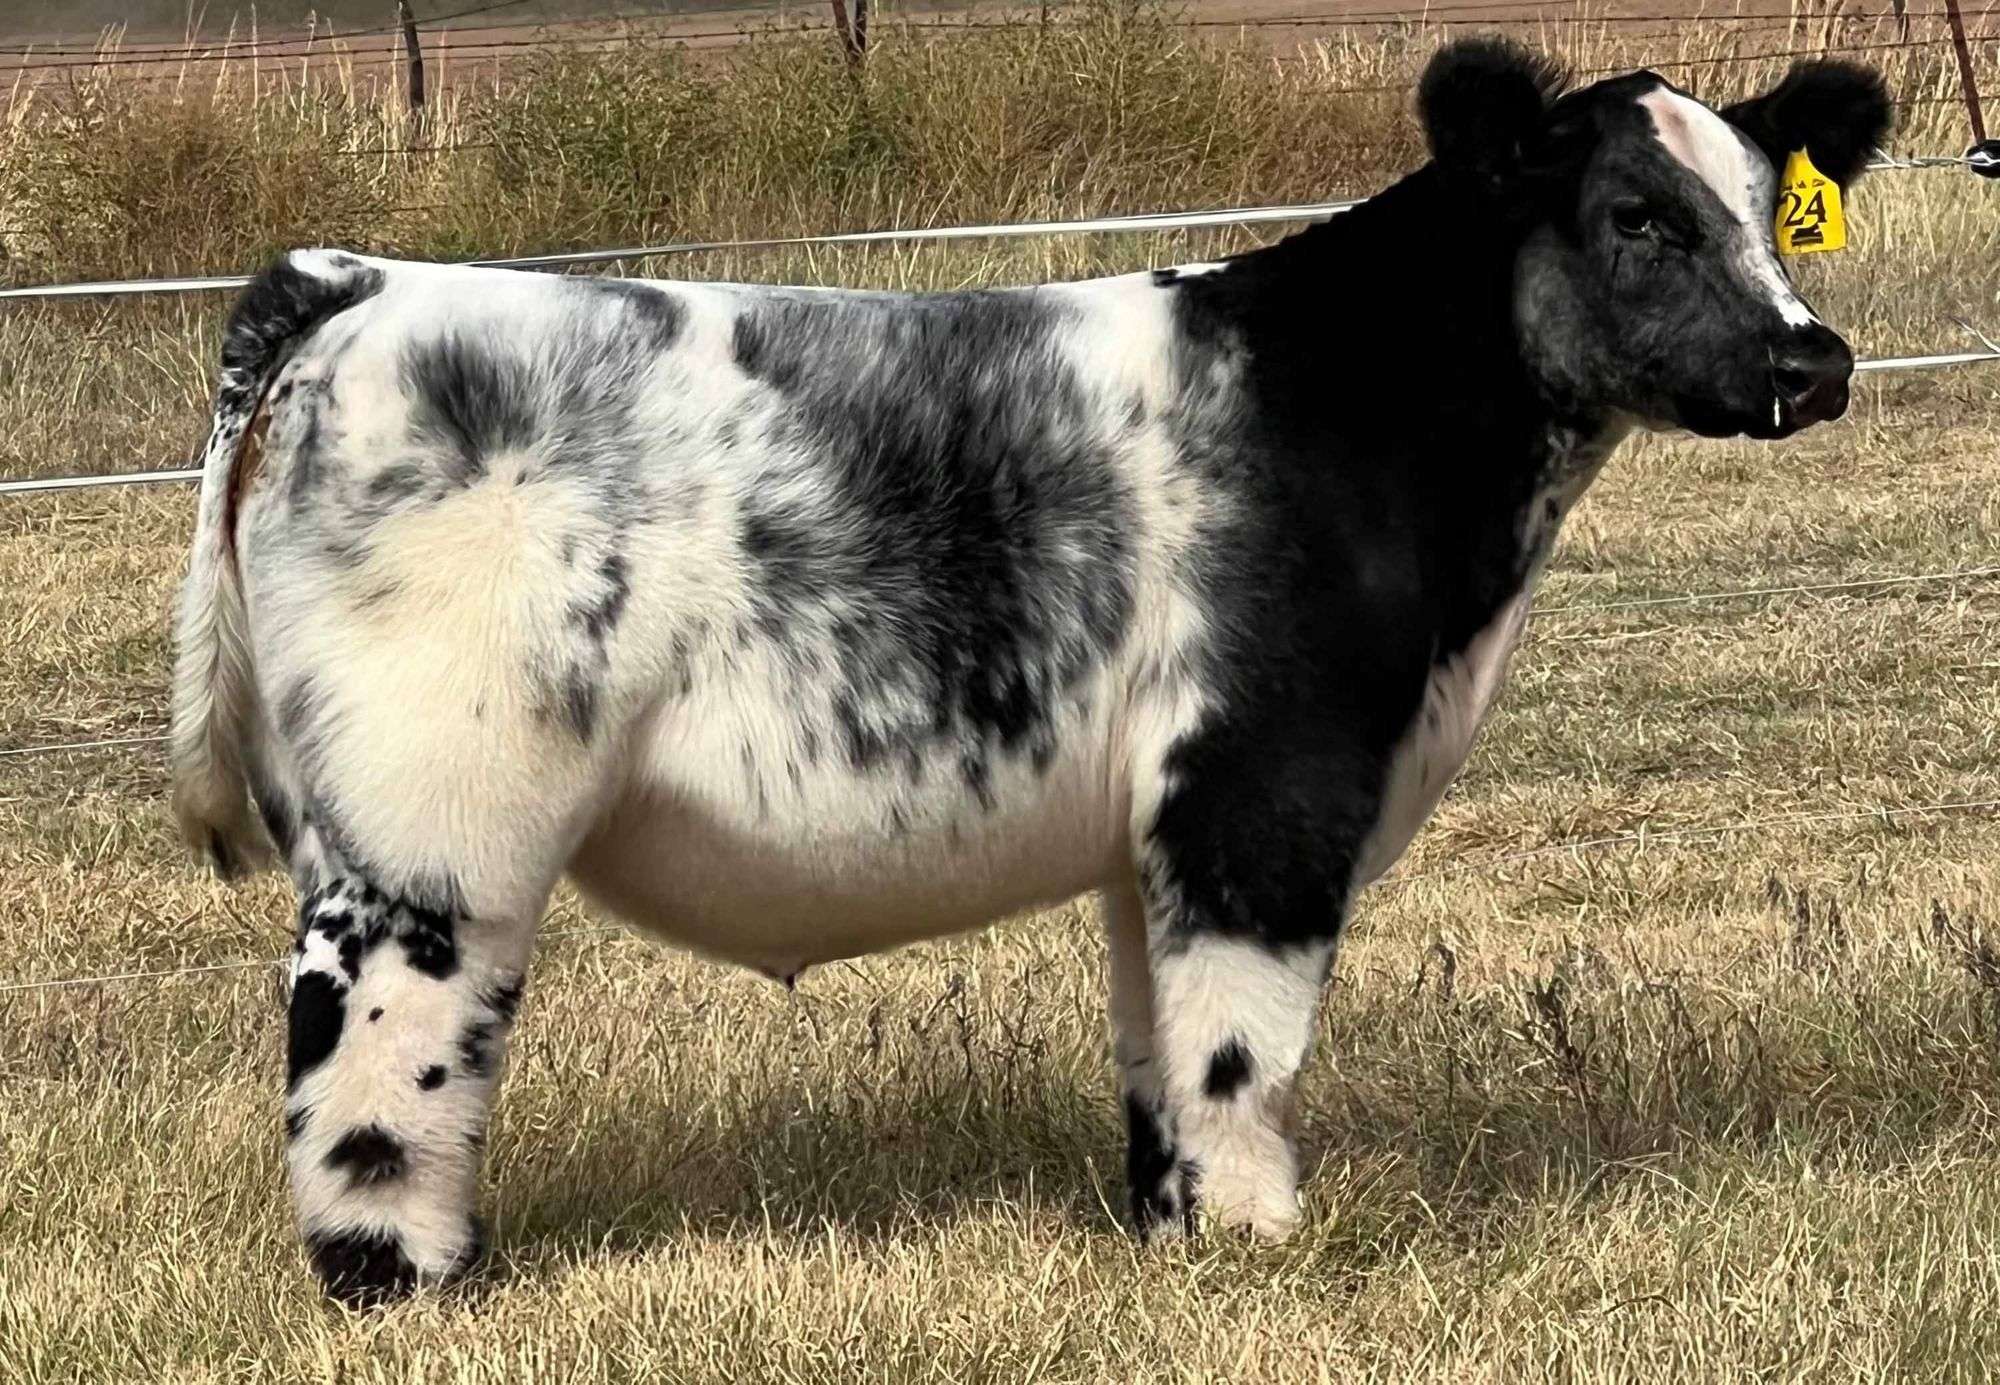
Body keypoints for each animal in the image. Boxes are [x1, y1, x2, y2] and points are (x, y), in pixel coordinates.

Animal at [168, 40, 1890, 1303]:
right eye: (1637, 217)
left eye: (1768, 205)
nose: (1814, 360)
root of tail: (370, 283)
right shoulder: (1266, 780)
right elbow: (1246, 1035)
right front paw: (1264, 1238)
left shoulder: (1159, 823)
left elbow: (1163, 1034)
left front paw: (1179, 1227)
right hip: (432, 815)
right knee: (367, 1034)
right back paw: (408, 1278)